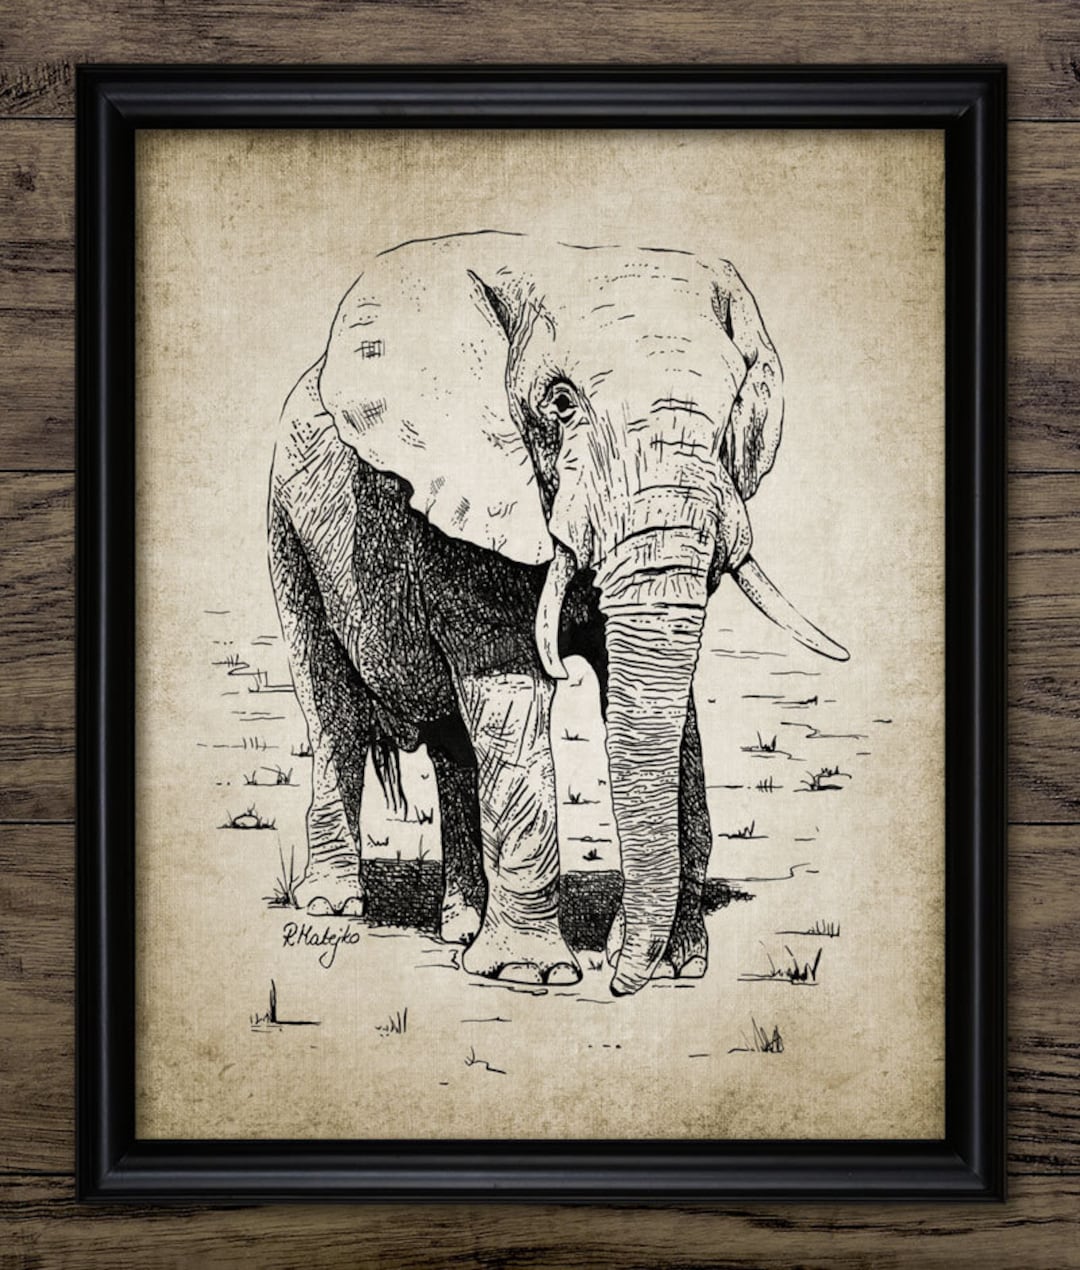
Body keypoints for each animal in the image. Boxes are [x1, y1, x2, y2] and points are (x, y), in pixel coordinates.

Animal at [268, 230, 847, 997]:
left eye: (731, 409)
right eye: (561, 402)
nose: (619, 979)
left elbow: (669, 711)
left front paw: (676, 965)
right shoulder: (465, 513)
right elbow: (509, 686)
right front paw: (531, 975)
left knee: (454, 746)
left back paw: (459, 927)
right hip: (286, 531)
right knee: (330, 706)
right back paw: (333, 909)